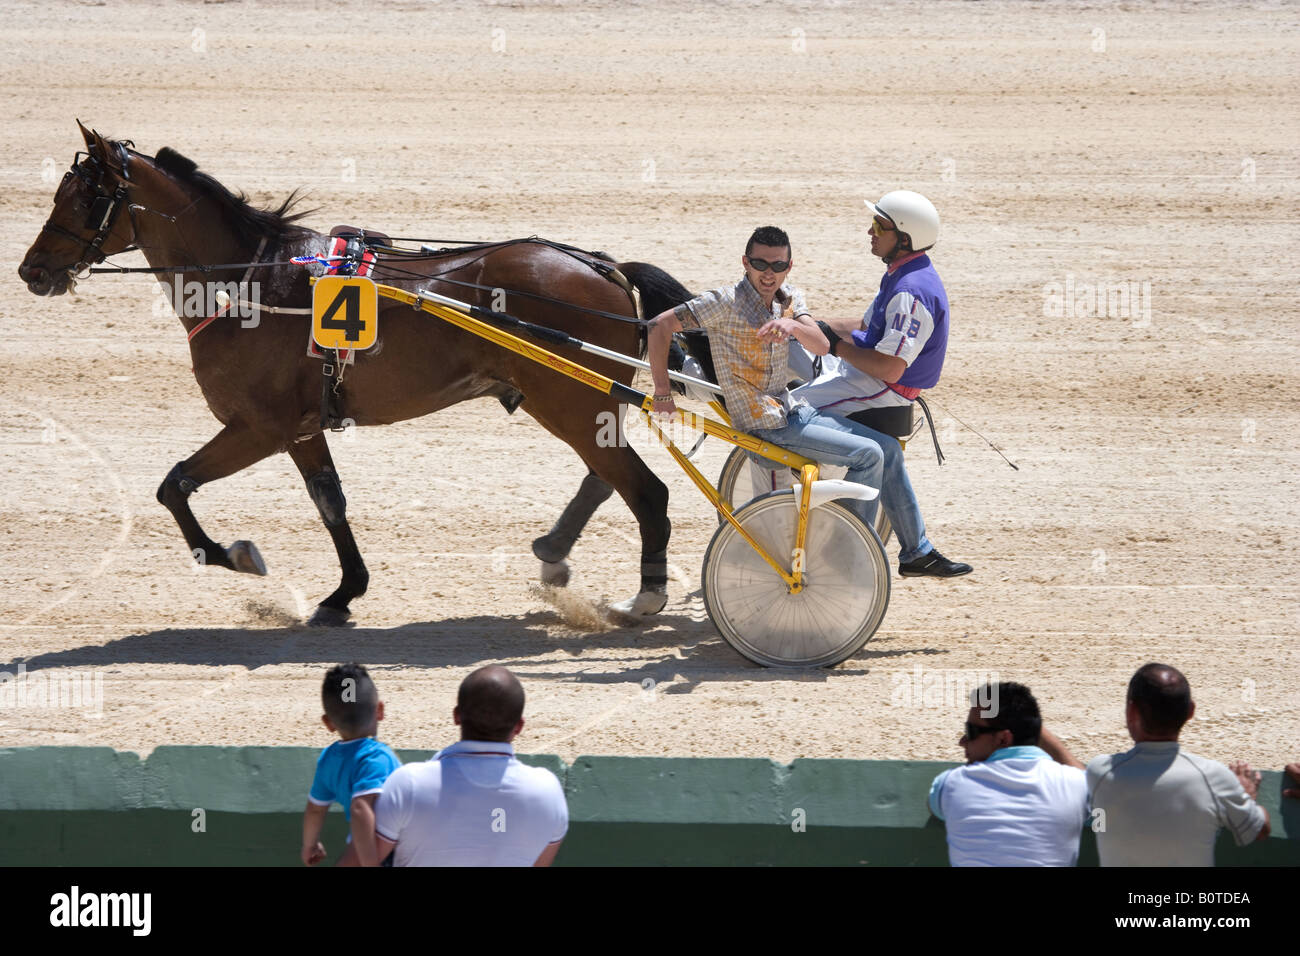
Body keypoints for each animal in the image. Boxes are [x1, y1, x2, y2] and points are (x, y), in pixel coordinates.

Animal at [19, 123, 693, 626]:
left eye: (84, 198)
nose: (32, 269)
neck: (254, 284)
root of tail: (605, 267)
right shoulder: (302, 427)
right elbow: (330, 503)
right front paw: (344, 593)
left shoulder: (259, 427)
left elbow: (174, 485)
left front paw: (233, 554)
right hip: (572, 403)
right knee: (607, 479)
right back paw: (555, 552)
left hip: (572, 402)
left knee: (646, 491)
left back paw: (645, 596)